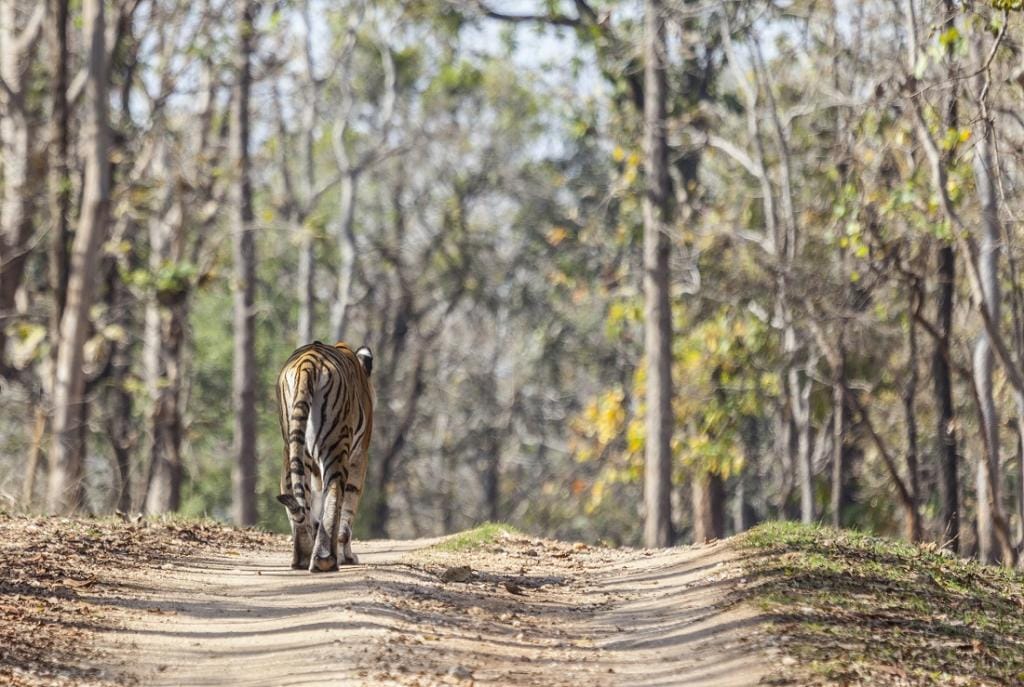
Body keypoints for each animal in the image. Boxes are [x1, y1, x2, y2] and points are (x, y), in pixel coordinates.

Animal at [275, 341, 374, 572]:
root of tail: (308, 361)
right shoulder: (360, 456)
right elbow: (349, 507)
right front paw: (348, 556)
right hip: (336, 444)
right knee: (336, 491)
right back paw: (325, 559)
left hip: (292, 446)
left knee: (295, 493)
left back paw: (303, 557)